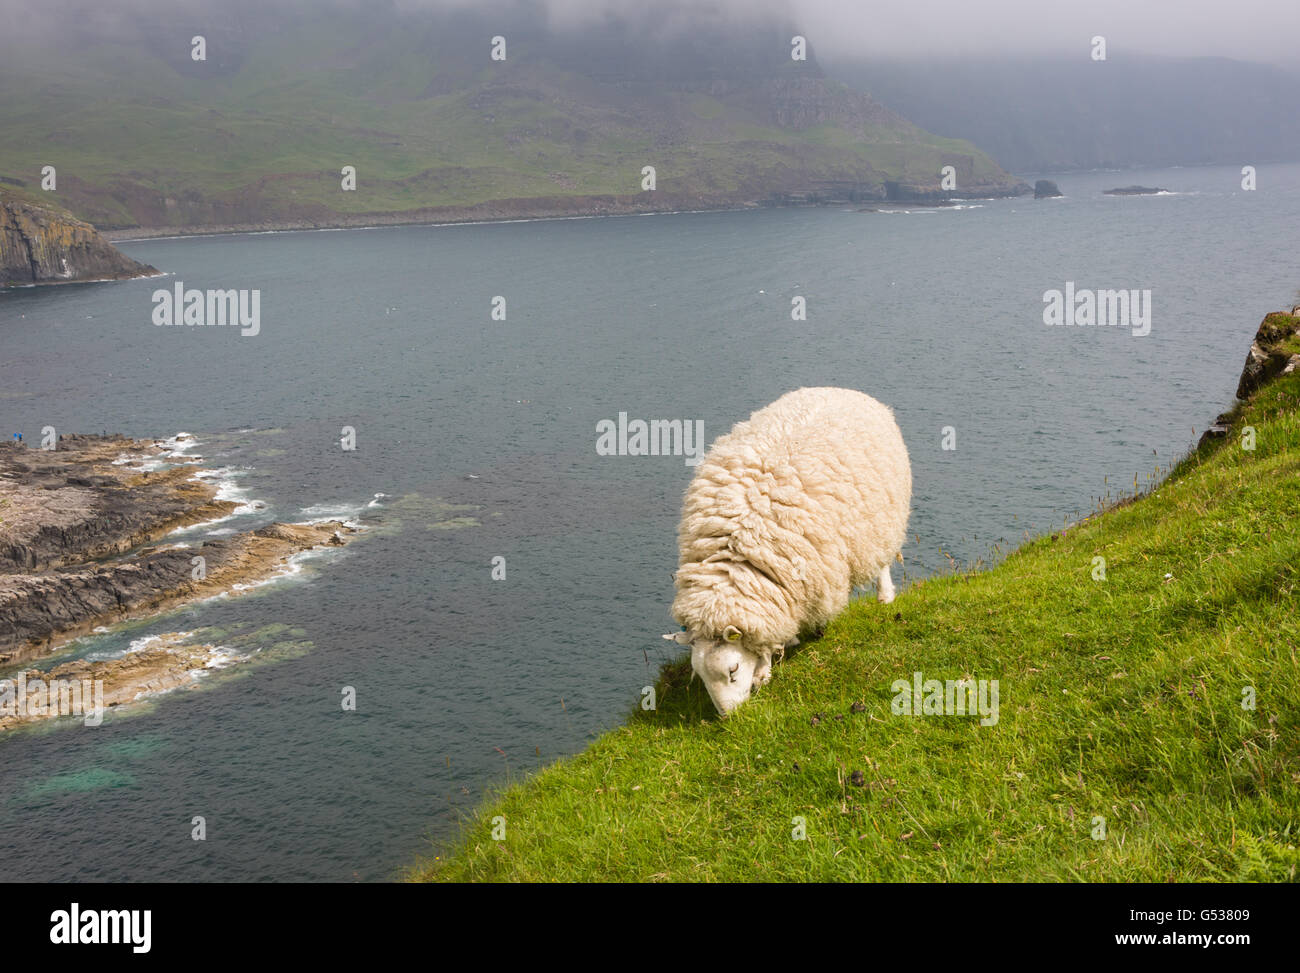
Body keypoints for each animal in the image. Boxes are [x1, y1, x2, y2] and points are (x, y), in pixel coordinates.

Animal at [663, 387, 912, 715]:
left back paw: (885, 596)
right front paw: (782, 647)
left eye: (732, 670)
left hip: (881, 521)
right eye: (698, 675)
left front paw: (764, 671)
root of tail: (841, 389)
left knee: (881, 561)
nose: (728, 718)